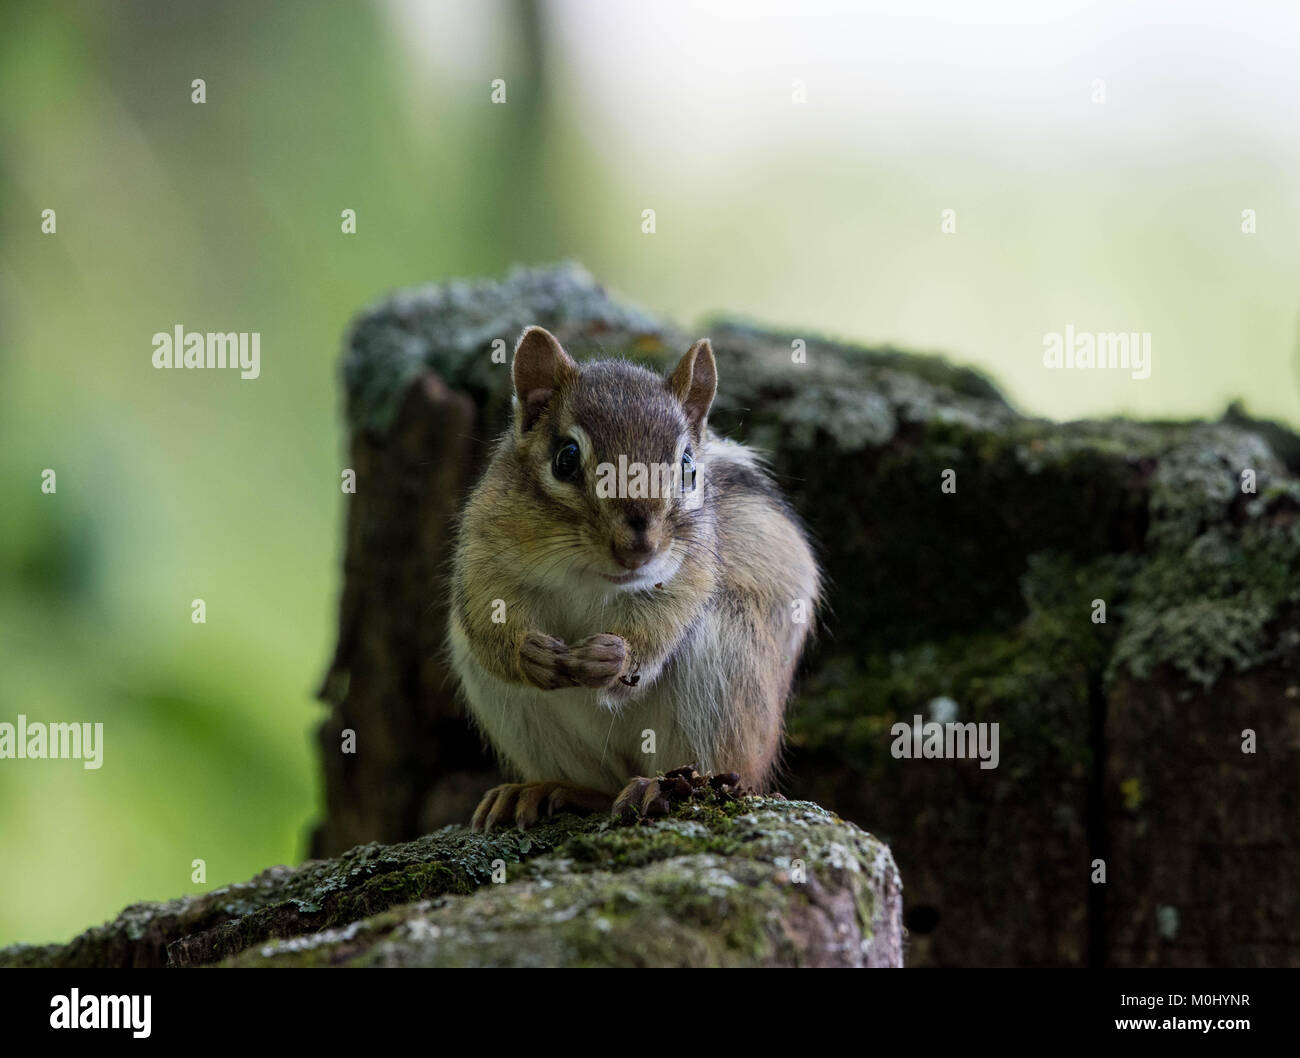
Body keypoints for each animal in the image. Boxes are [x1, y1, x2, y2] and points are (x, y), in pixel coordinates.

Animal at [448, 325, 821, 830]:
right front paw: (531, 653)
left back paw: (663, 787)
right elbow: (487, 614)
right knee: (600, 788)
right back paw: (544, 790)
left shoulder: (693, 569)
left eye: (687, 466)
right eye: (565, 458)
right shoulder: (483, 551)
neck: (590, 578)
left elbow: (665, 619)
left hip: (725, 677)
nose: (637, 548)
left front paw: (614, 656)